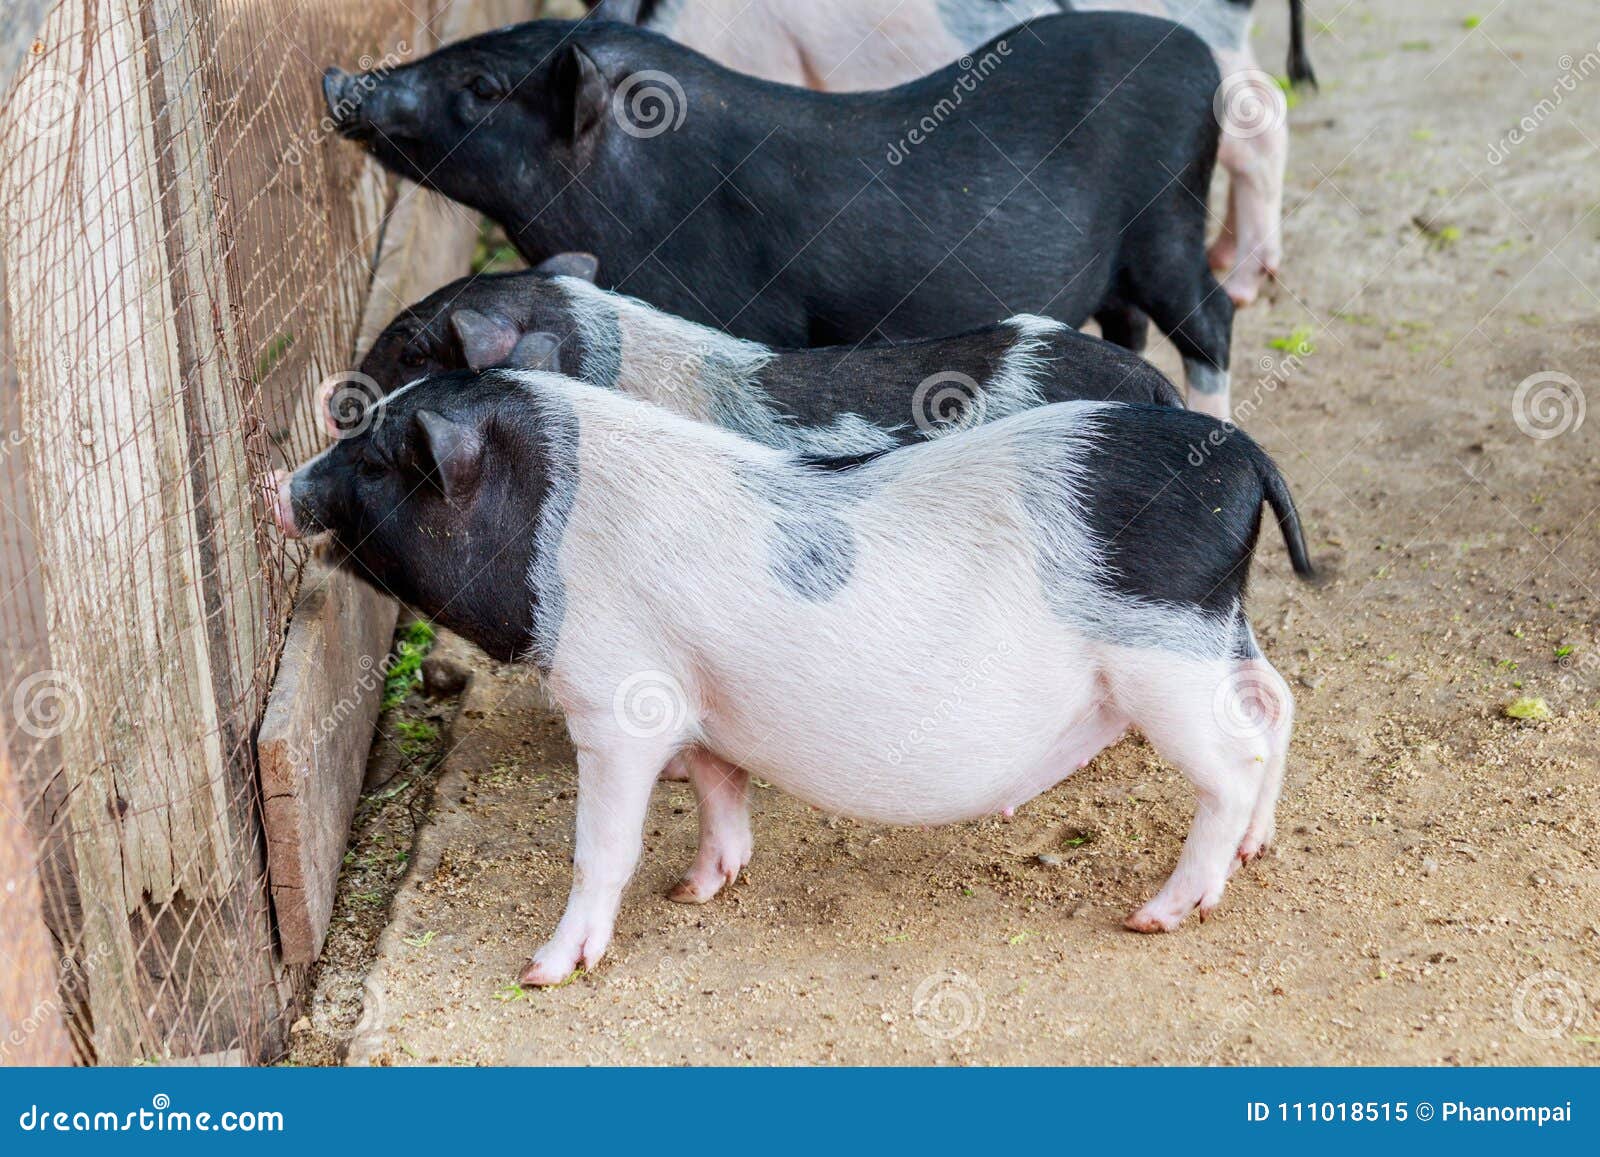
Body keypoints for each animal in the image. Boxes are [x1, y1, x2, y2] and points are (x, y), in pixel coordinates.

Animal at [268, 367, 1313, 985]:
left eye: (378, 458)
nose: (280, 484)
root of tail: (1240, 453)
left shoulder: (617, 699)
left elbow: (601, 844)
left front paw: (543, 970)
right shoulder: (701, 704)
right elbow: (719, 785)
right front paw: (698, 890)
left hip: (1163, 659)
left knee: (1234, 760)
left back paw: (1158, 914)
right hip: (1217, 632)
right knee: (1275, 705)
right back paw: (1256, 852)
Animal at [322, 13, 1240, 417]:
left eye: (481, 88)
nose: (336, 78)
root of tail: (1203, 59)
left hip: (1169, 223)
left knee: (1215, 316)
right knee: (1134, 323)